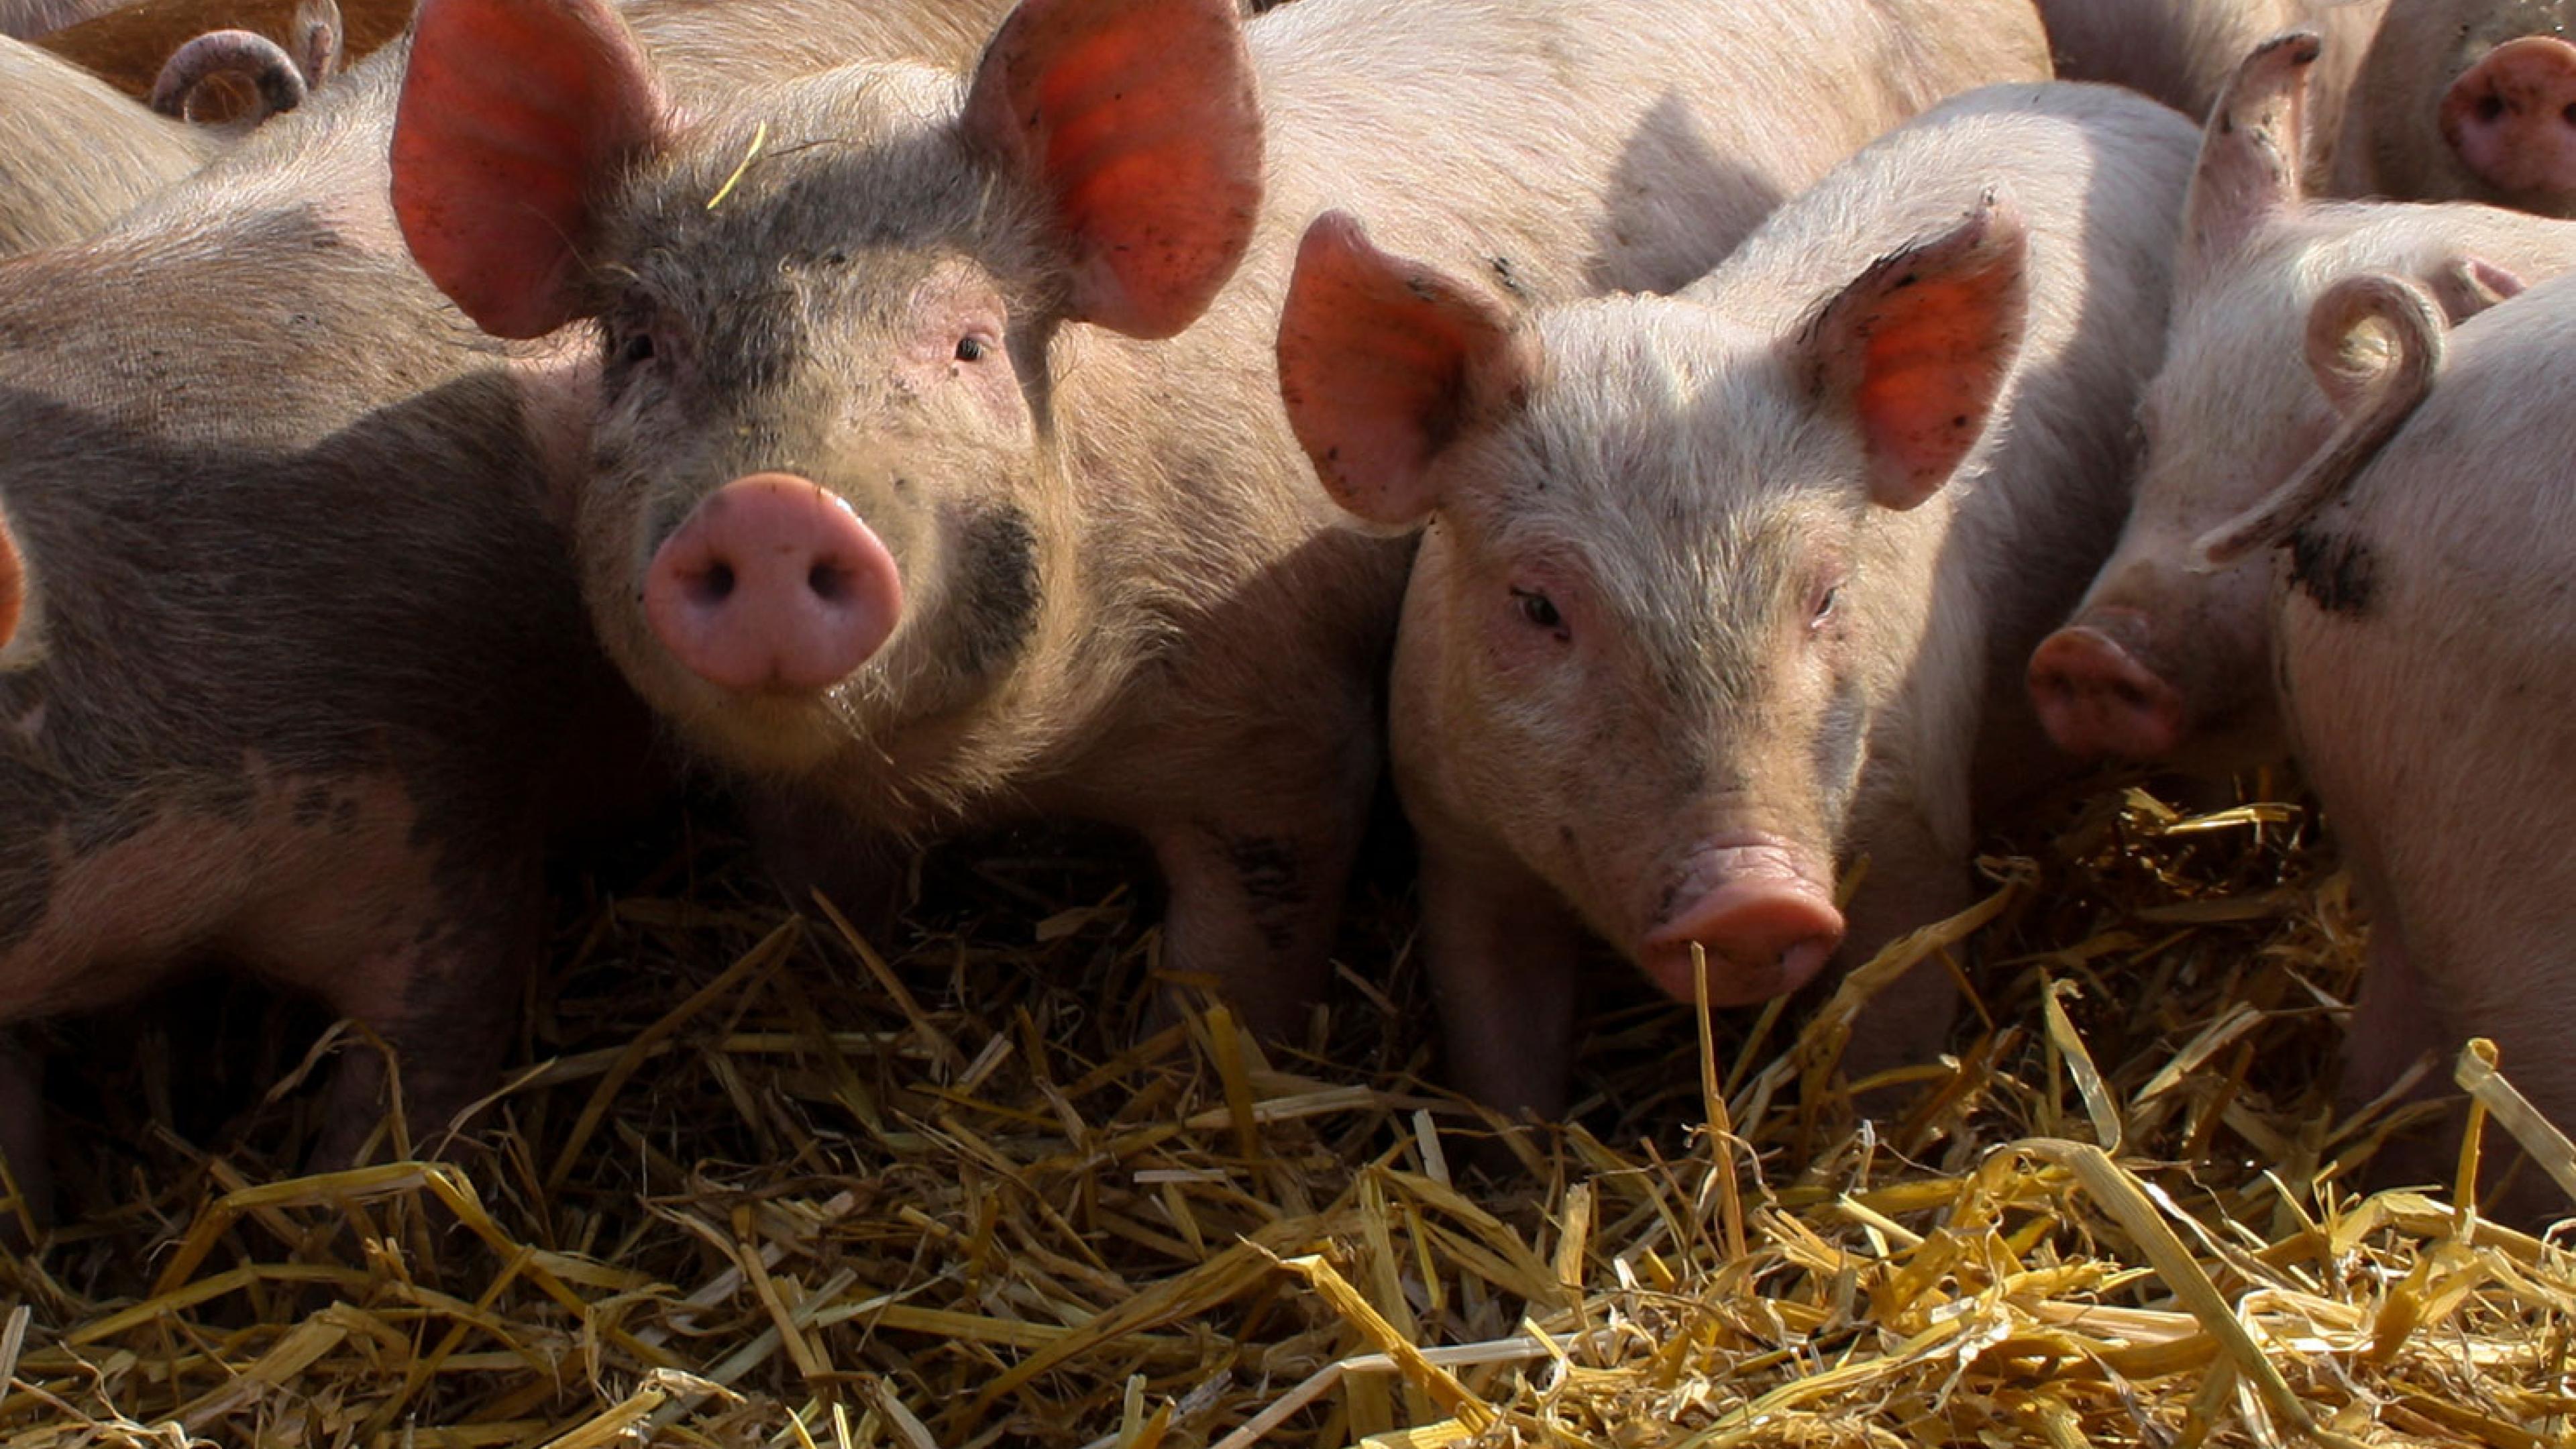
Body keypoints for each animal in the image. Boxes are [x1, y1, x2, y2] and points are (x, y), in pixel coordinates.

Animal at [383, 0, 2051, 1043]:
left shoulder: (1290, 733)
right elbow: (829, 903)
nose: (779, 503)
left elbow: (1238, 956)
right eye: (642, 344)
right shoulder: (779, 787)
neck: (1012, 772)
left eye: (970, 343)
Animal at [1273, 82, 2200, 1115]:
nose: (1752, 898)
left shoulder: (1918, 816)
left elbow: (1893, 1034)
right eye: (1538, 606)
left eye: (1827, 594)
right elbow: (1503, 1059)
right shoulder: (1458, 844)